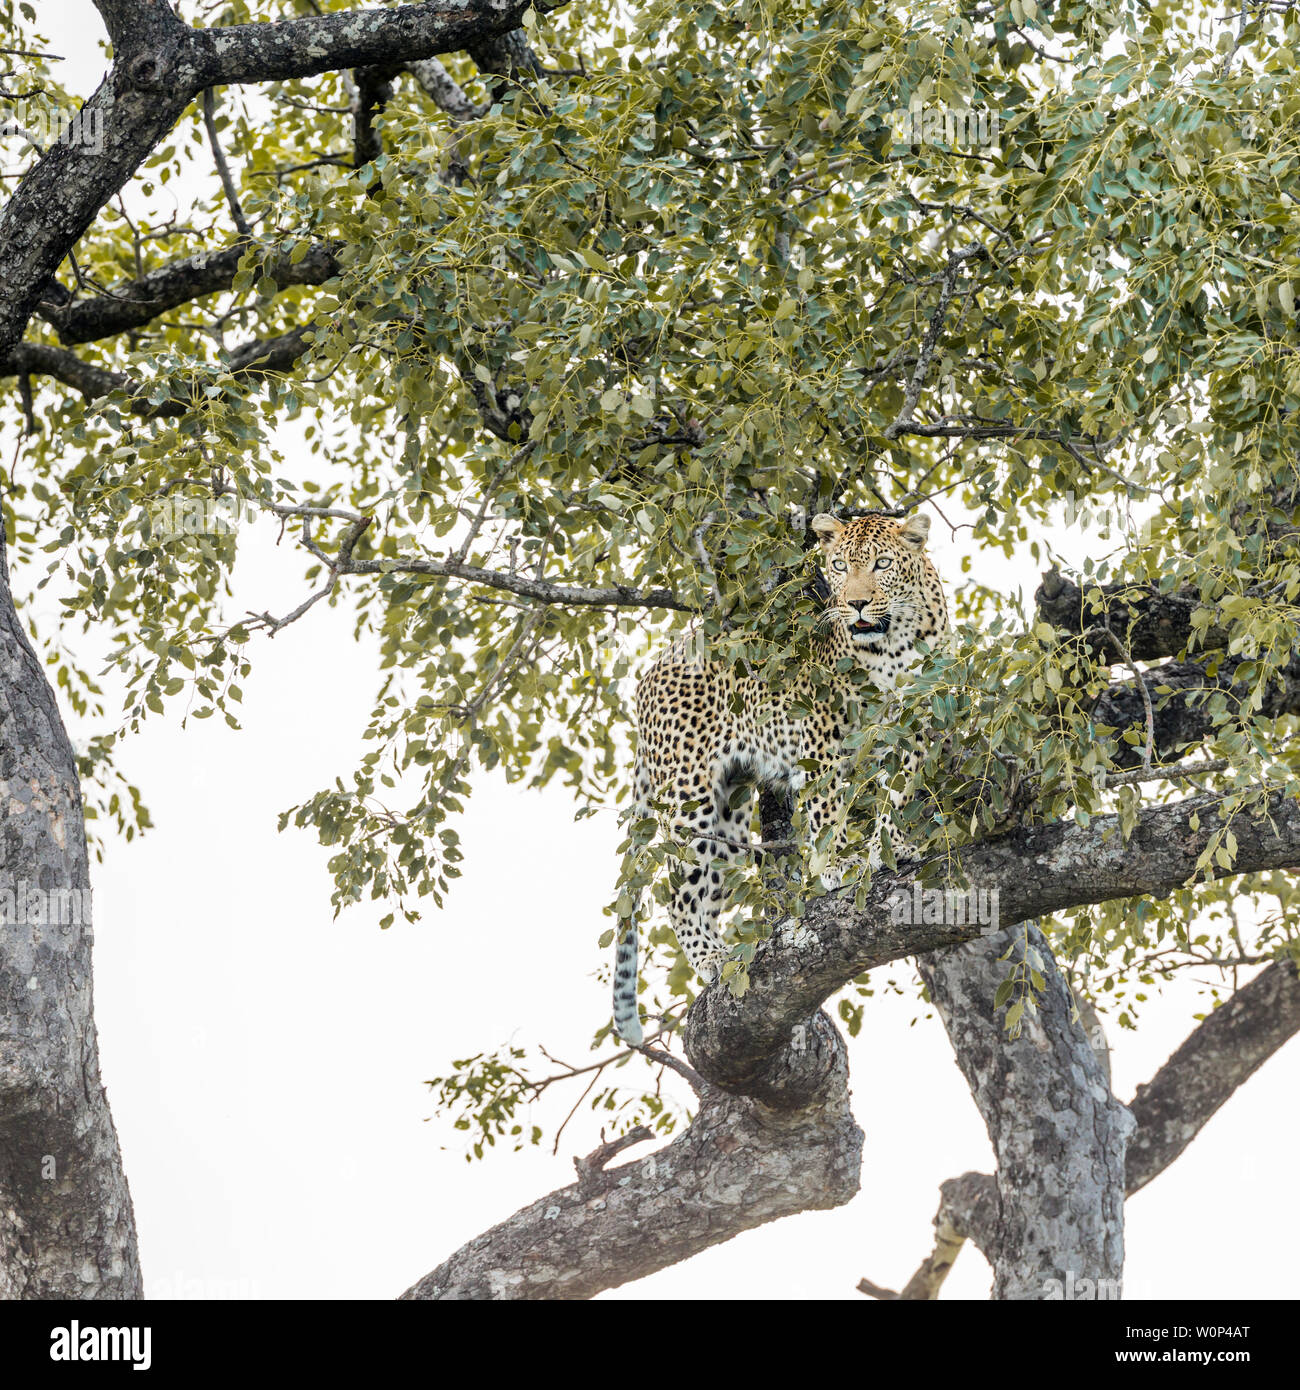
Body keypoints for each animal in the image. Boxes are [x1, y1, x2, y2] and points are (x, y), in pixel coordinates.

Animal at [612, 510, 949, 1046]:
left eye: (881, 564)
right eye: (838, 566)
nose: (855, 603)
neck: (896, 639)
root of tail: (651, 673)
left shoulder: (916, 720)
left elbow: (898, 794)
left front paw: (894, 846)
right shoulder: (822, 731)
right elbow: (828, 804)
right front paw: (838, 863)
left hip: (729, 814)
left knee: (708, 884)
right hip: (688, 795)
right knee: (677, 893)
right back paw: (711, 957)